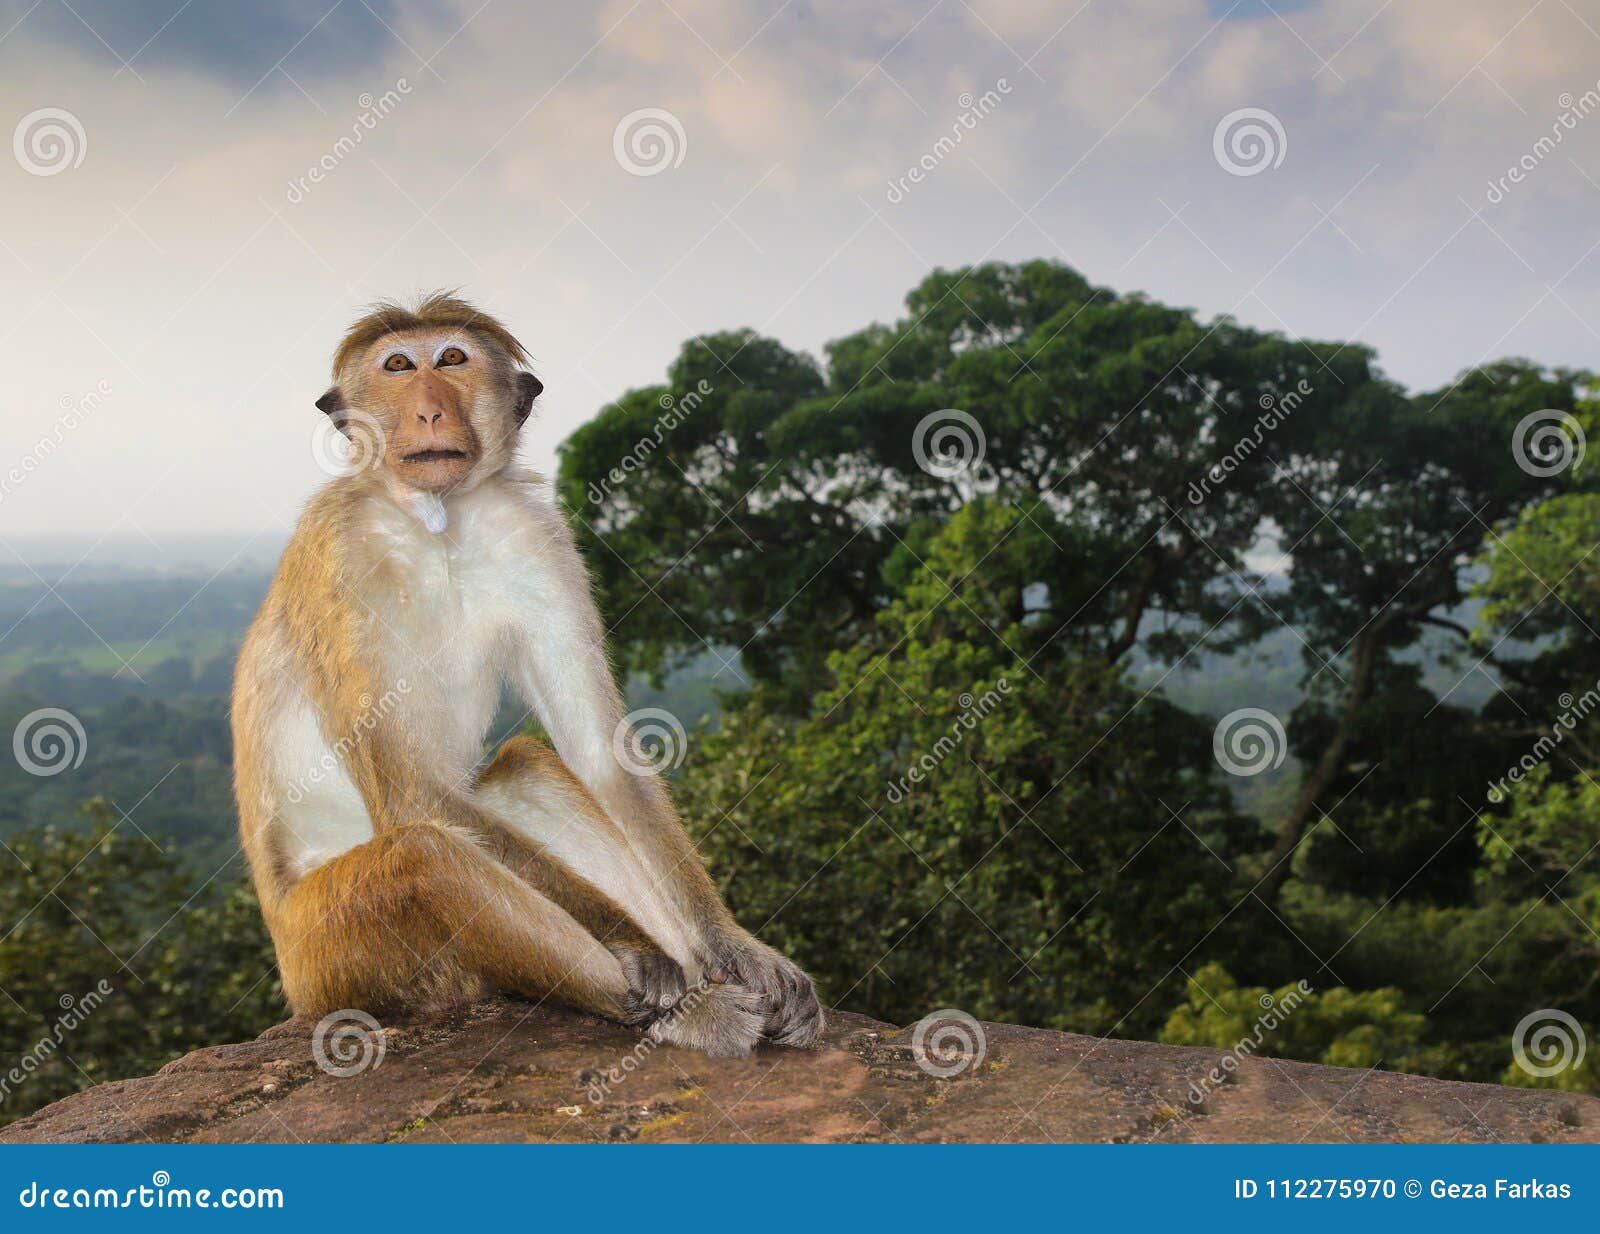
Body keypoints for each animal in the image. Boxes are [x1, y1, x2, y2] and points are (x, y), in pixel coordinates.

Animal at [231, 293, 822, 1057]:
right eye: (398, 366)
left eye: (452, 358)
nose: (429, 410)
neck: (440, 524)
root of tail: (290, 972)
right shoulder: (338, 549)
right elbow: (410, 790)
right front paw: (638, 949)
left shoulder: (539, 539)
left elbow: (600, 755)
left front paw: (737, 948)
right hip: (331, 961)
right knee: (424, 857)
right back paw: (682, 1009)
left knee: (527, 770)